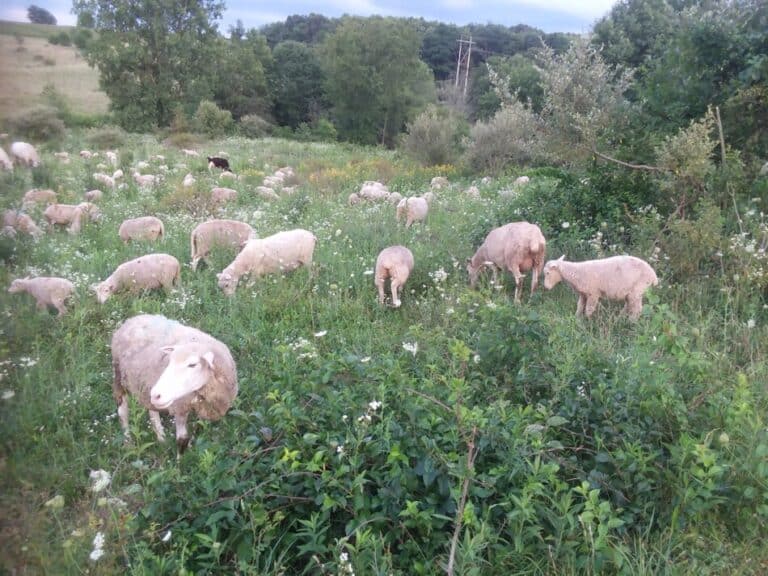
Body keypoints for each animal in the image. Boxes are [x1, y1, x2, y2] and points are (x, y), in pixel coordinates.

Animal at [111, 314, 238, 453]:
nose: (156, 394)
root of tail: (134, 318)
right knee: (123, 412)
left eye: (192, 364)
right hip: (119, 376)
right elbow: (182, 439)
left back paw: (161, 438)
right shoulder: (180, 407)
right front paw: (181, 458)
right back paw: (128, 442)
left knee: (152, 411)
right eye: (169, 360)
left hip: (146, 384)